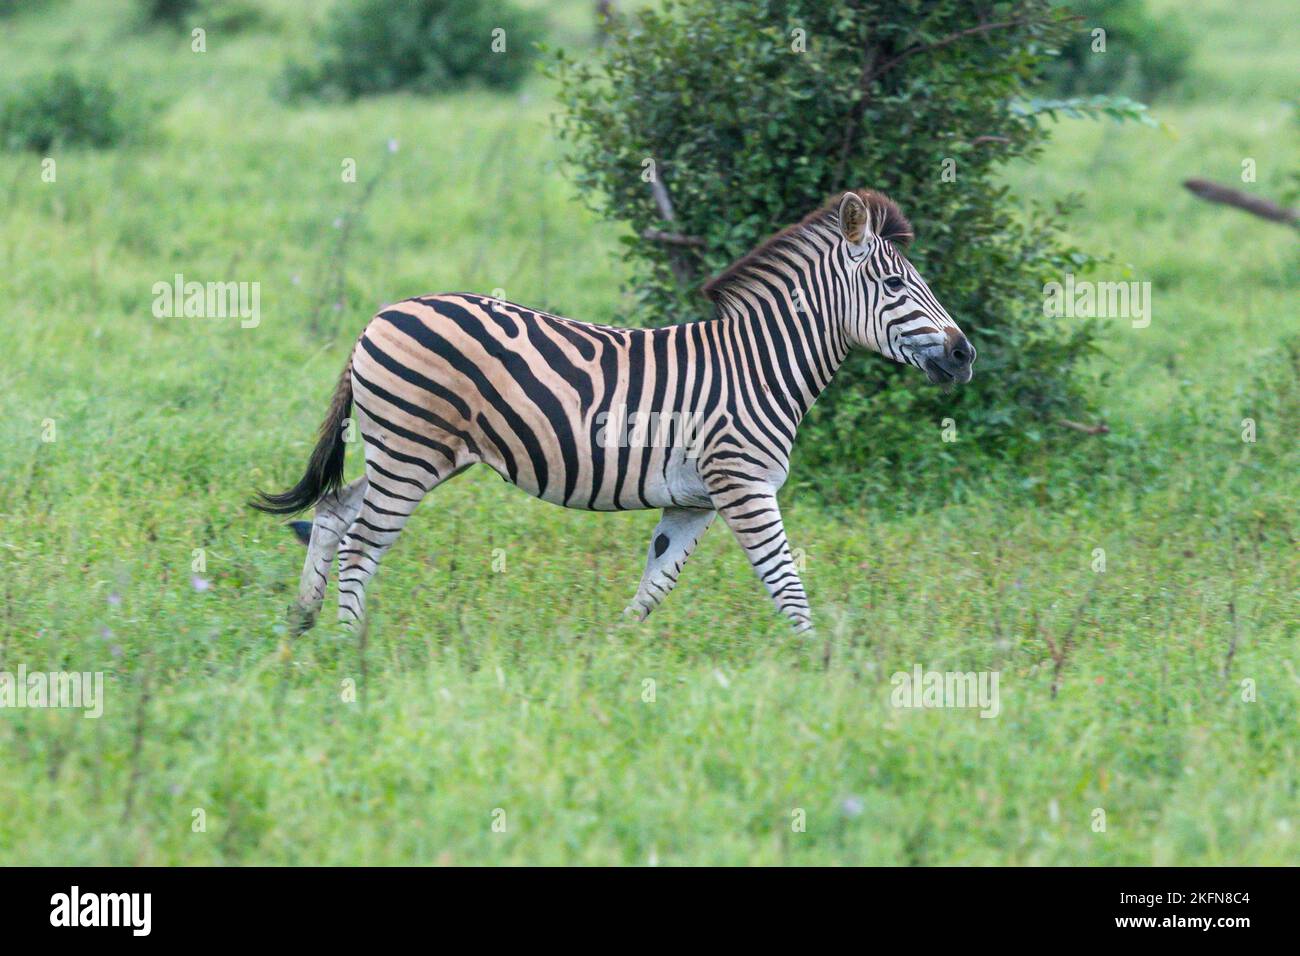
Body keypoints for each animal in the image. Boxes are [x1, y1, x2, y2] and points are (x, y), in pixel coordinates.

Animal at [252, 189, 975, 634]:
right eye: (895, 284)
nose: (965, 354)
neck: (759, 366)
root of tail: (379, 315)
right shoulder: (742, 484)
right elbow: (785, 581)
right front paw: (820, 667)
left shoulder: (693, 502)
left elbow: (655, 584)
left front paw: (613, 654)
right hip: (410, 451)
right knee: (361, 541)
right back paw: (353, 652)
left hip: (410, 451)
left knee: (334, 511)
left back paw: (304, 626)